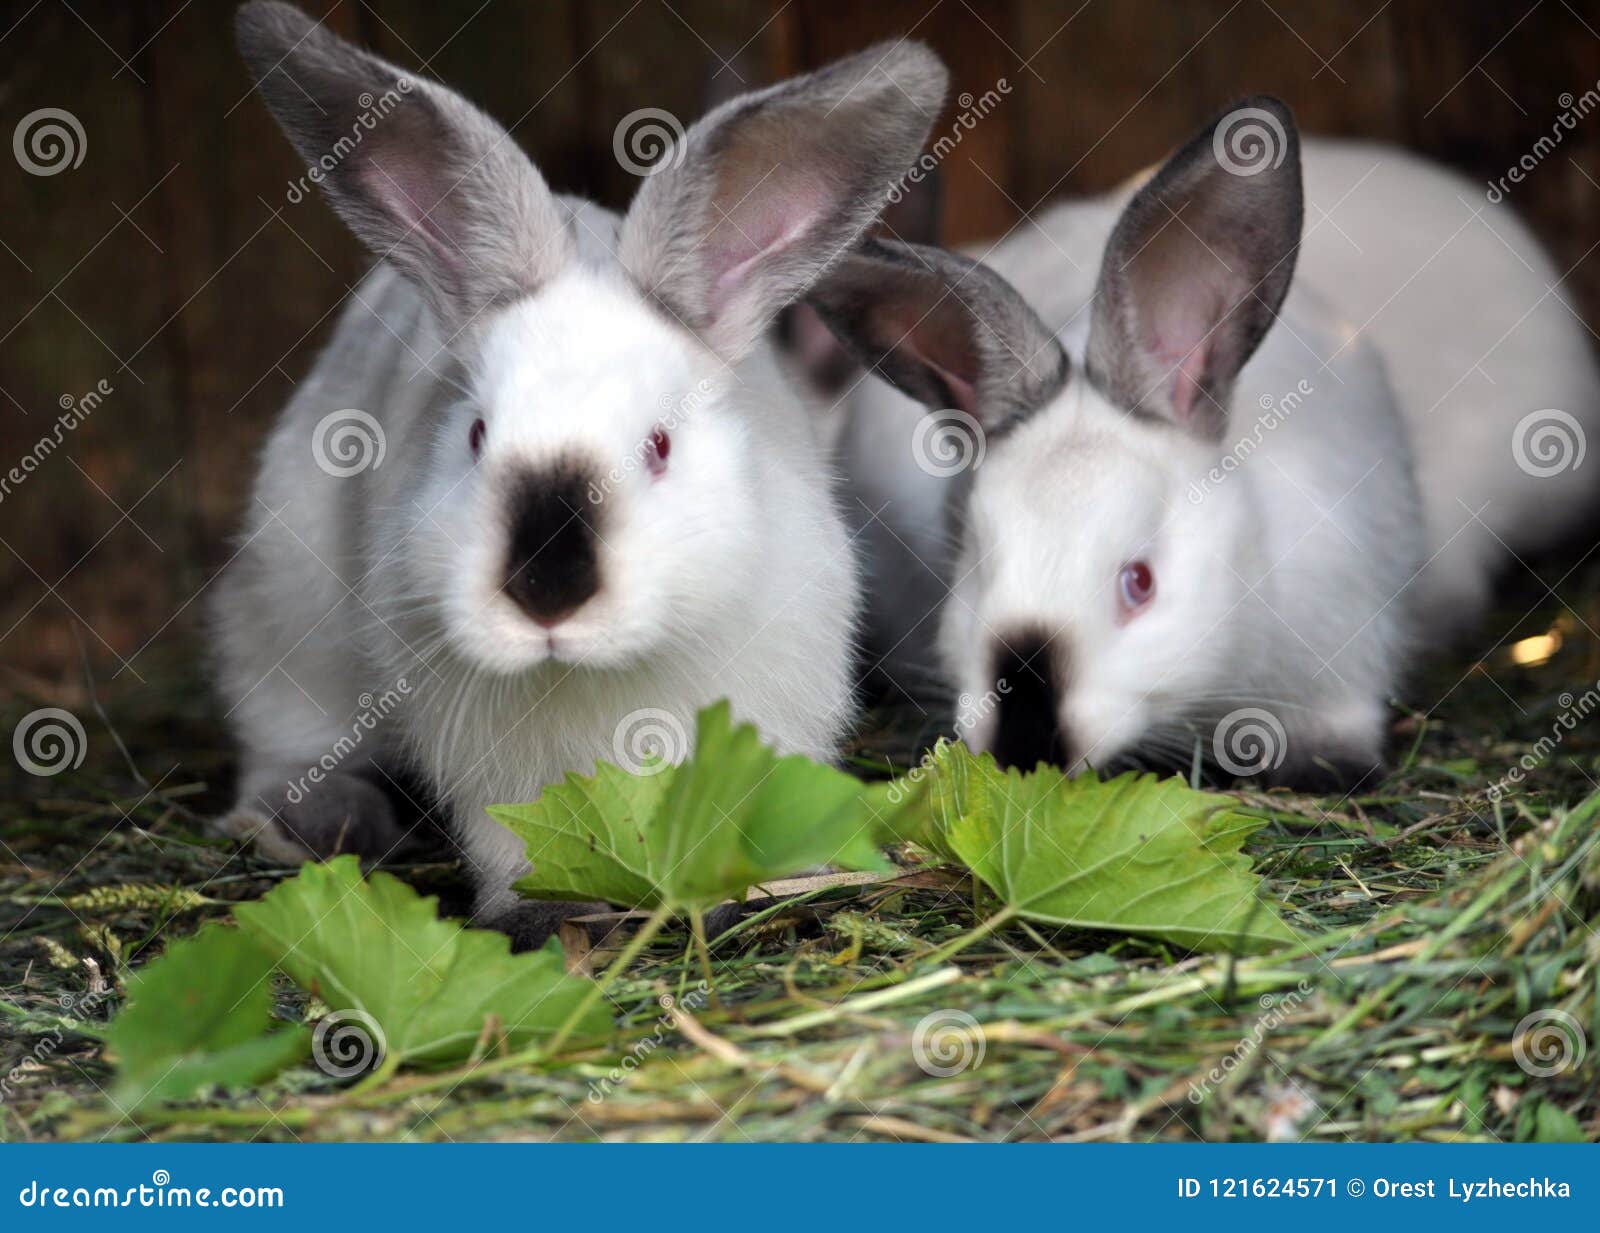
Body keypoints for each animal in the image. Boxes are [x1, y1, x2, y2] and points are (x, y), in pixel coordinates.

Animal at [211, 1, 947, 945]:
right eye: (477, 434)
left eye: (660, 444)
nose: (548, 591)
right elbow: (516, 854)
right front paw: (541, 919)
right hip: (285, 614)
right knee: (290, 737)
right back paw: (314, 820)